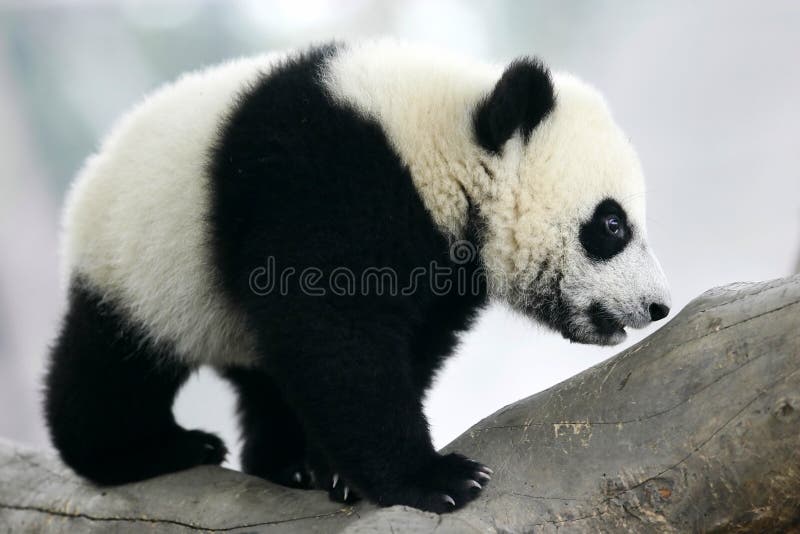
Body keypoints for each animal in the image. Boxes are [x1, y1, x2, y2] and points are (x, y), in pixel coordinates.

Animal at [44, 40, 671, 514]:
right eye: (612, 224)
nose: (658, 306)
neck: (438, 153)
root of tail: (92, 173)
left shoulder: (444, 272)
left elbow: (405, 350)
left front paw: (337, 473)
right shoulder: (329, 183)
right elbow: (339, 340)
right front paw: (437, 478)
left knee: (265, 376)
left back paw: (284, 464)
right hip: (140, 264)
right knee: (114, 365)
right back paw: (148, 449)